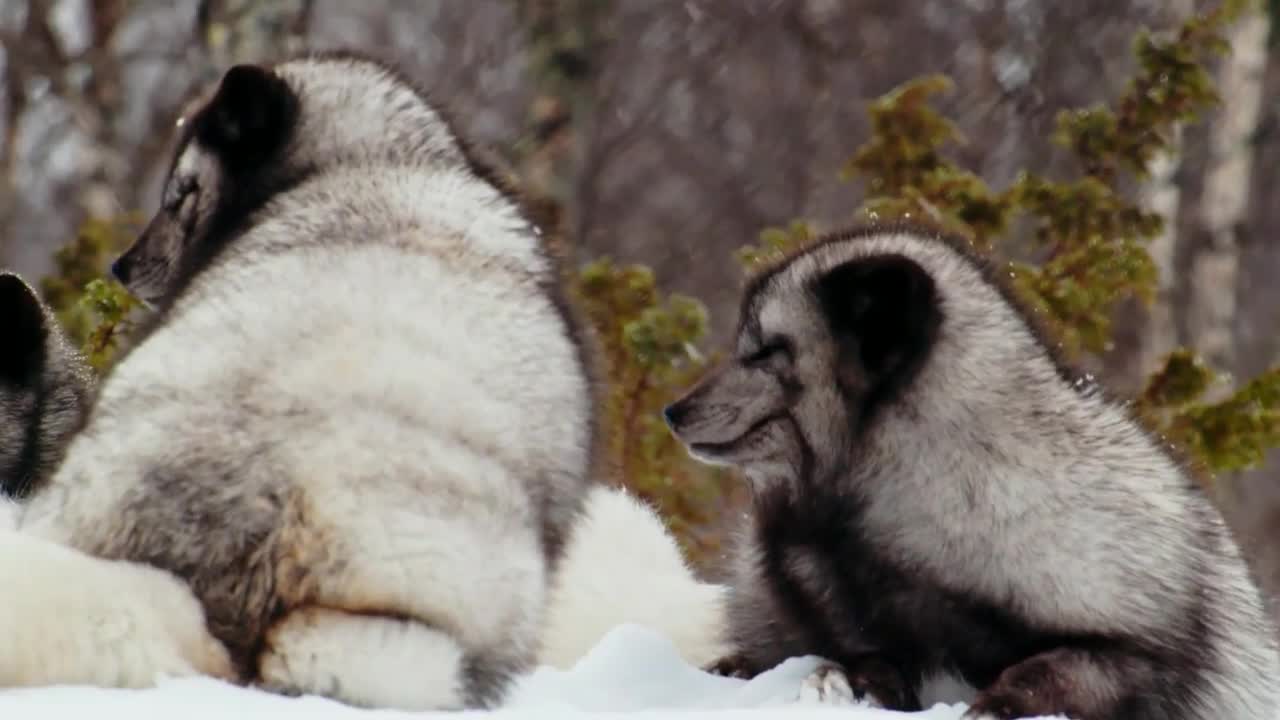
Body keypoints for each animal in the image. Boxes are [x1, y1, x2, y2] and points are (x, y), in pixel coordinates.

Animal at [663, 221, 1280, 719]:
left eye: (766, 351)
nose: (673, 412)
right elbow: (859, 657)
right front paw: (841, 682)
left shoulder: (1141, 651)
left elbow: (1053, 666)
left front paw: (991, 704)